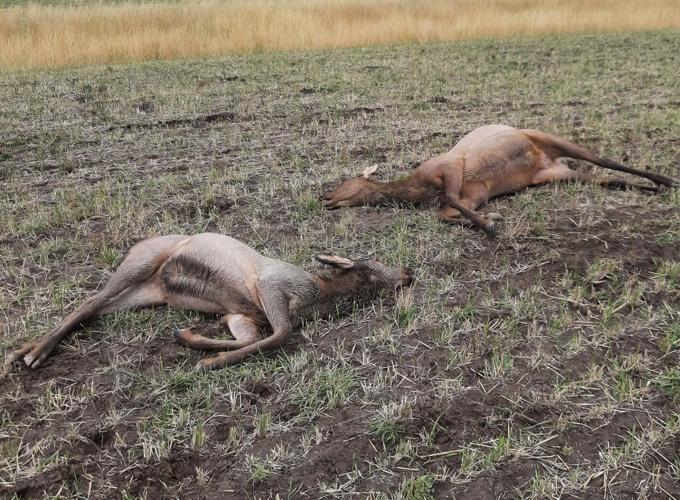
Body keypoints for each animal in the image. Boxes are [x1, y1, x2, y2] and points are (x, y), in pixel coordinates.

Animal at [4, 233, 413, 372]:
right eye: (376, 263)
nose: (409, 271)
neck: (320, 296)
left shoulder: (239, 314)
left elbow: (255, 338)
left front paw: (192, 340)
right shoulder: (270, 284)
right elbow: (282, 334)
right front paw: (209, 361)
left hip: (144, 295)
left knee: (92, 310)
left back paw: (19, 351)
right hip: (138, 264)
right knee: (89, 300)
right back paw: (34, 353)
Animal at [322, 124, 680, 234]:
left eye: (342, 184)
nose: (324, 199)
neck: (420, 188)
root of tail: (546, 159)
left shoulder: (450, 165)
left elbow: (448, 201)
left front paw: (490, 225)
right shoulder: (474, 194)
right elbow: (446, 213)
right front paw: (491, 218)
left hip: (543, 136)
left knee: (600, 159)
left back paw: (666, 180)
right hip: (551, 175)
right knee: (599, 178)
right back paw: (651, 187)